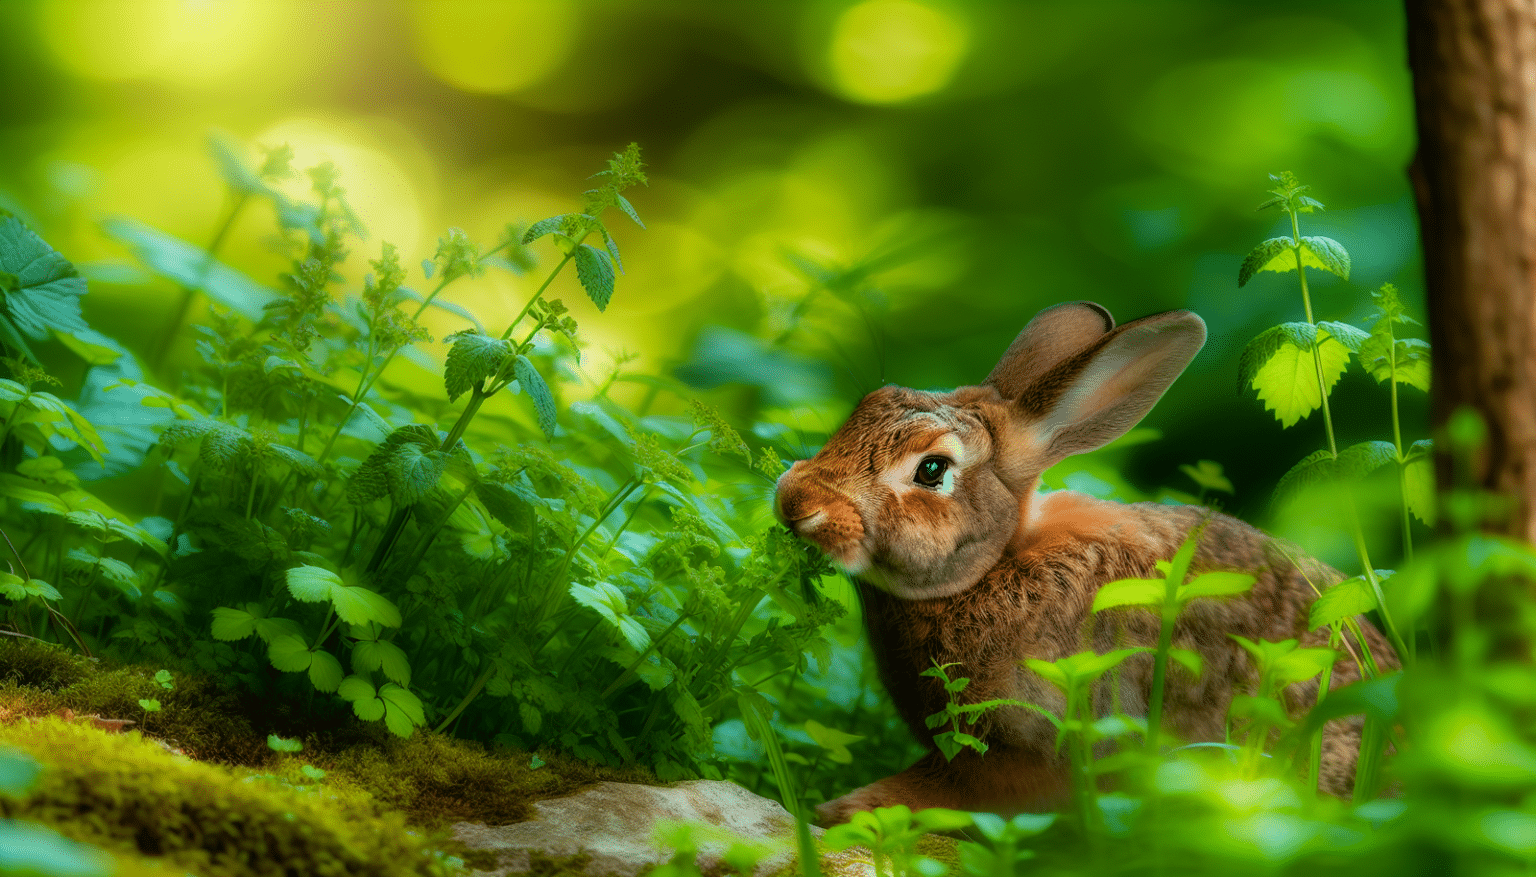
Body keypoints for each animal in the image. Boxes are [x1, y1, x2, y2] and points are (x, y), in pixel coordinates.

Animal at [772, 301, 1398, 825]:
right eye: (865, 408)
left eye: (931, 469)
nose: (796, 501)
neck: (993, 568)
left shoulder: (1025, 749)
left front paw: (845, 809)